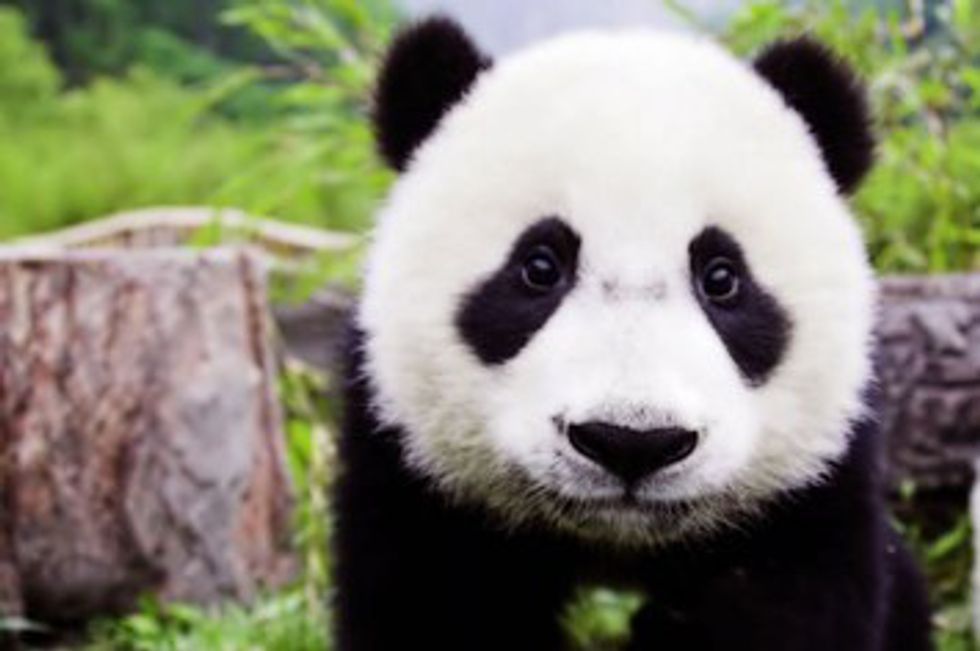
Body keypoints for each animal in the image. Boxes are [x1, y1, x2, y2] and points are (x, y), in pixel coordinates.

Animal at [333, 16, 933, 651]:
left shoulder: (813, 488)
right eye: (539, 267)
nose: (632, 442)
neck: (618, 539)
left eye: (722, 278)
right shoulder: (414, 468)